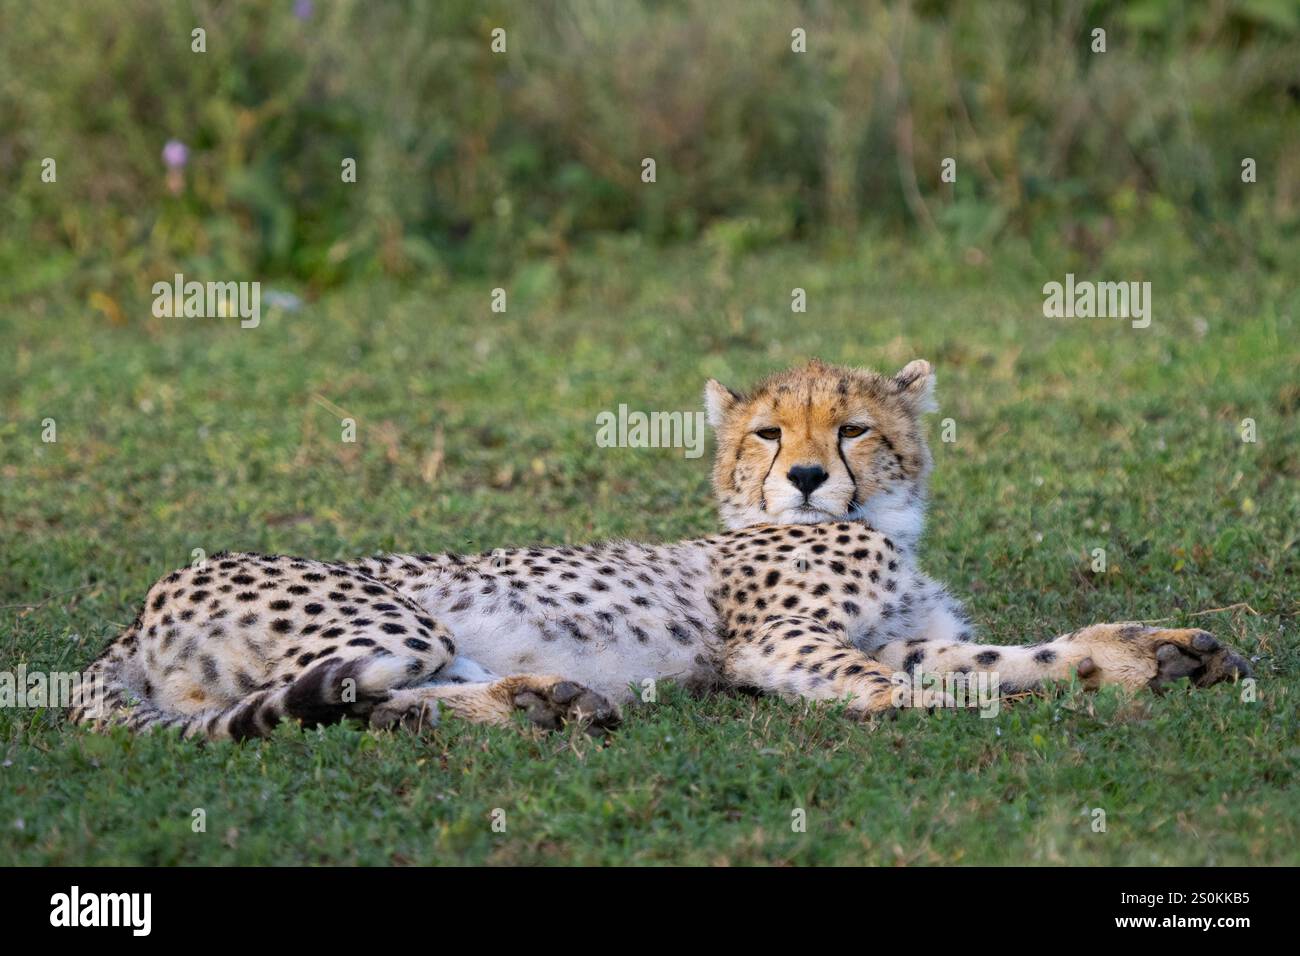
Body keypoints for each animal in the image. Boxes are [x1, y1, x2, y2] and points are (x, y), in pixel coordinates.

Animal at [68, 358, 1252, 740]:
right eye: (769, 433)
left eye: (852, 428)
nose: (808, 477)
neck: (881, 526)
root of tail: (136, 609)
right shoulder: (780, 644)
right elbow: (895, 683)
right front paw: (925, 708)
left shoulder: (910, 633)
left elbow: (1012, 657)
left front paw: (1147, 652)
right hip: (396, 617)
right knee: (362, 684)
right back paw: (535, 701)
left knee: (365, 697)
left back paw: (540, 700)